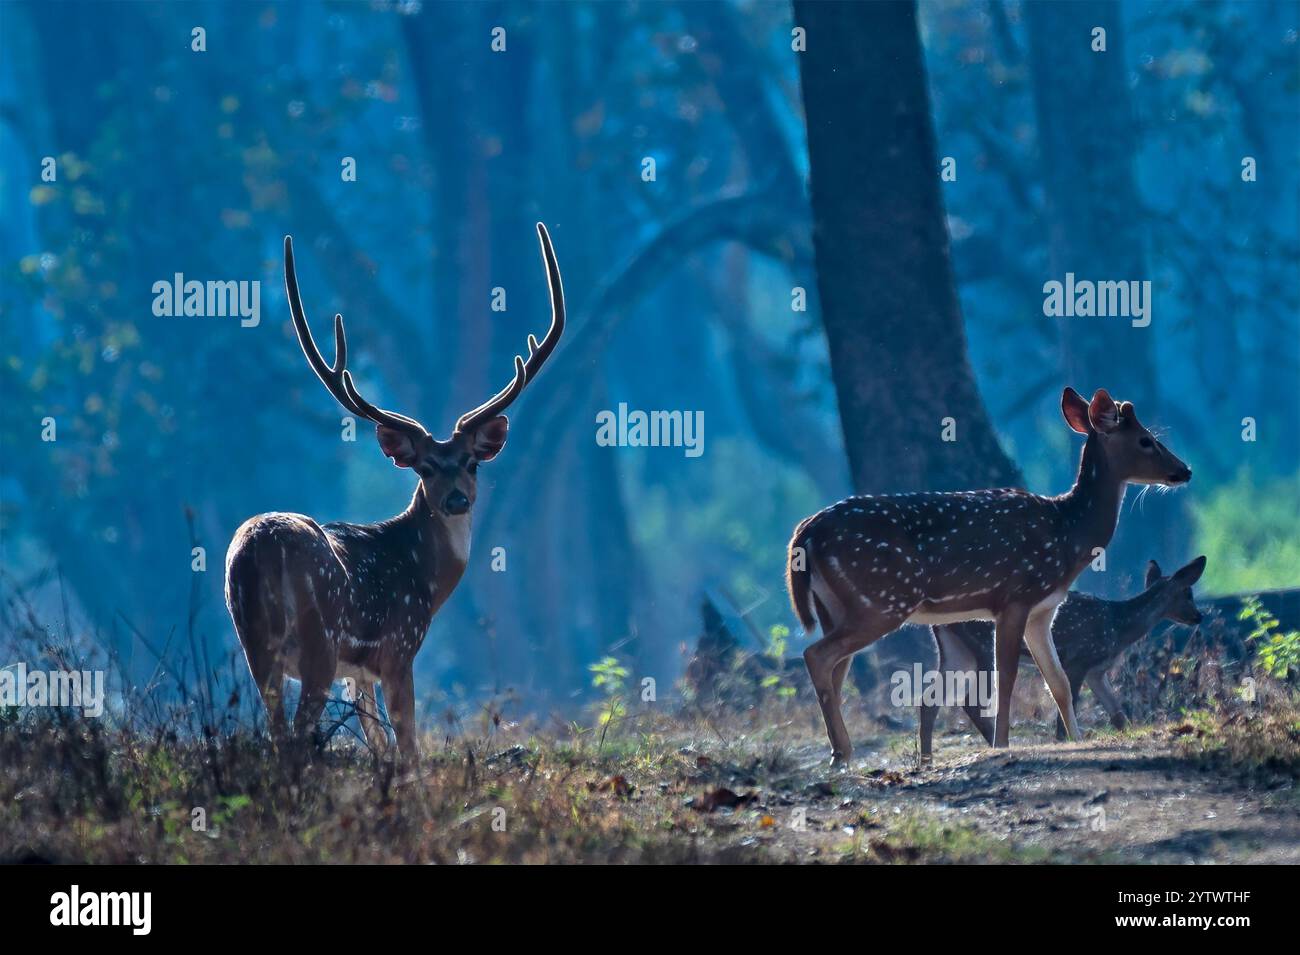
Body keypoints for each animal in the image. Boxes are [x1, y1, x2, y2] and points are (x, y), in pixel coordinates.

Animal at [225, 224, 564, 759]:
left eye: (471, 463)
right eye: (425, 468)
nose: (456, 500)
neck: (426, 578)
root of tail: (262, 549)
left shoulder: (359, 672)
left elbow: (378, 742)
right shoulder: (398, 647)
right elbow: (406, 746)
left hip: (254, 640)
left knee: (278, 734)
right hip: (320, 641)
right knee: (296, 738)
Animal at [918, 555, 1207, 759]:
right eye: (1188, 593)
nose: (1198, 616)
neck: (1117, 626)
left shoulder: (1096, 671)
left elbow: (1118, 714)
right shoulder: (1078, 660)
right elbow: (1066, 701)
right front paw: (1065, 741)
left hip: (957, 650)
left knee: (929, 698)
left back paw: (927, 758)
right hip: (982, 646)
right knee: (970, 701)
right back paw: (994, 745)